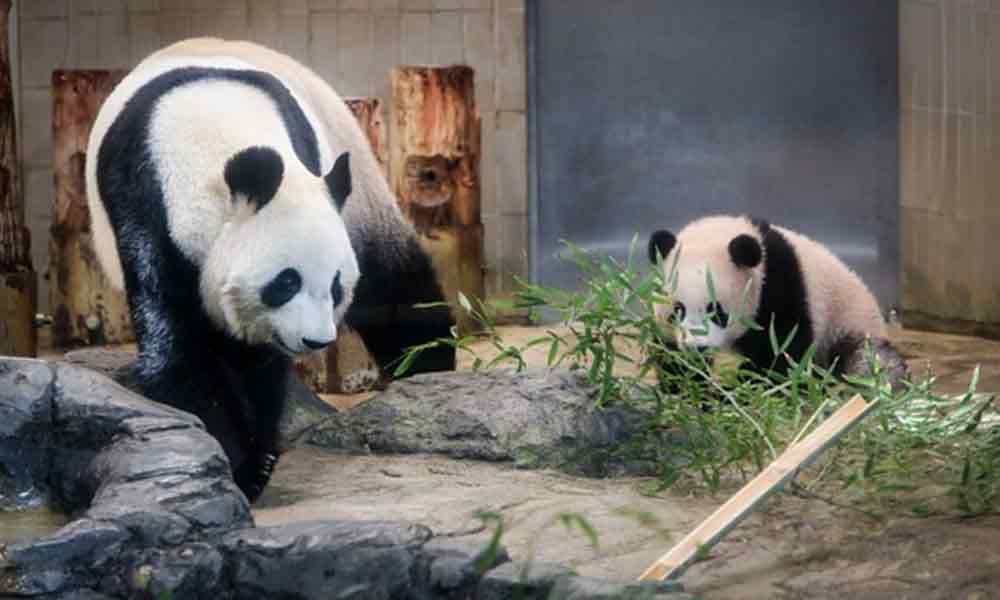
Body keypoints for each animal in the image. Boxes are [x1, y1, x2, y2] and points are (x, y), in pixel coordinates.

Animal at [86, 38, 454, 502]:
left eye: (336, 287)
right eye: (286, 281)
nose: (316, 340)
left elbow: (262, 365)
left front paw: (255, 457)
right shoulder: (144, 209)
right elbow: (177, 344)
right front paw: (234, 457)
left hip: (356, 184)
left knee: (394, 284)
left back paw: (429, 364)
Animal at [647, 215, 909, 390]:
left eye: (718, 312)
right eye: (677, 311)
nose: (697, 348)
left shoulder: (778, 287)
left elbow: (782, 351)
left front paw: (748, 386)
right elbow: (671, 356)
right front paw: (689, 388)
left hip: (847, 323)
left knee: (868, 362)